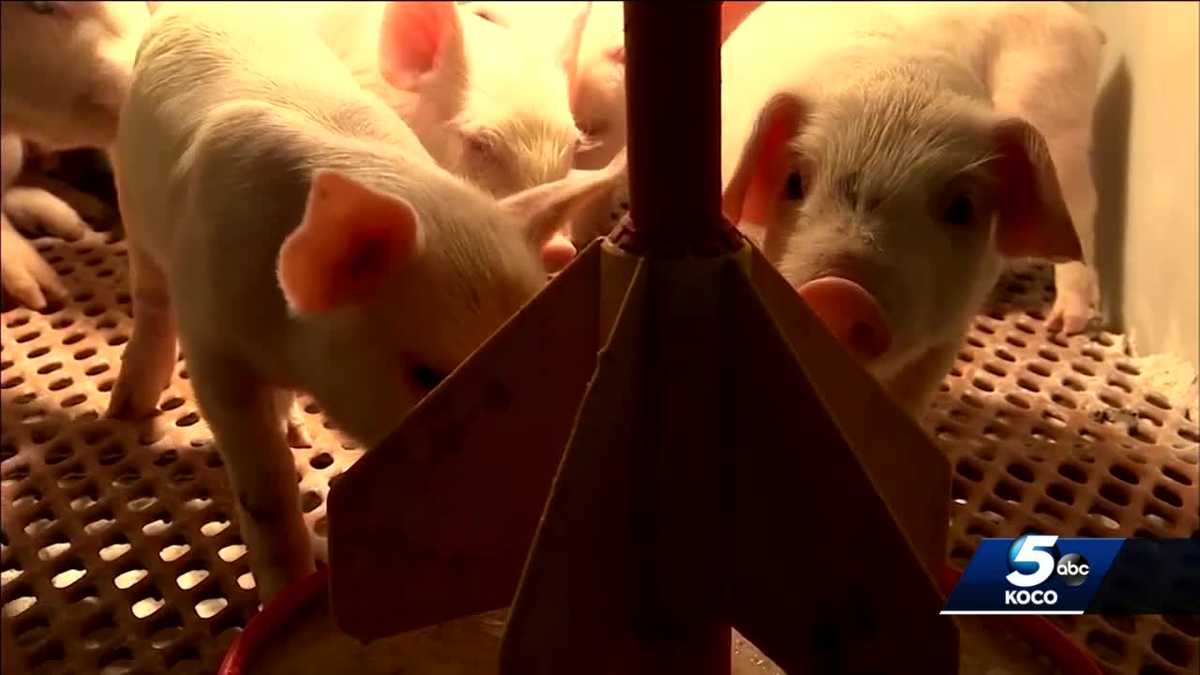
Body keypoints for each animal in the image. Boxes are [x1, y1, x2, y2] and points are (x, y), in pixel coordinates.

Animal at [104, 1, 624, 600]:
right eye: (425, 375)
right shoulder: (213, 345)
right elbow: (266, 493)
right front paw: (283, 586)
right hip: (133, 201)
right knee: (149, 296)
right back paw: (127, 409)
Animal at [720, 1, 1102, 417]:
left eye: (961, 207)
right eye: (793, 182)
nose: (840, 290)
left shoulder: (951, 327)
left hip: (1062, 130)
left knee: (1085, 221)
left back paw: (1063, 325)